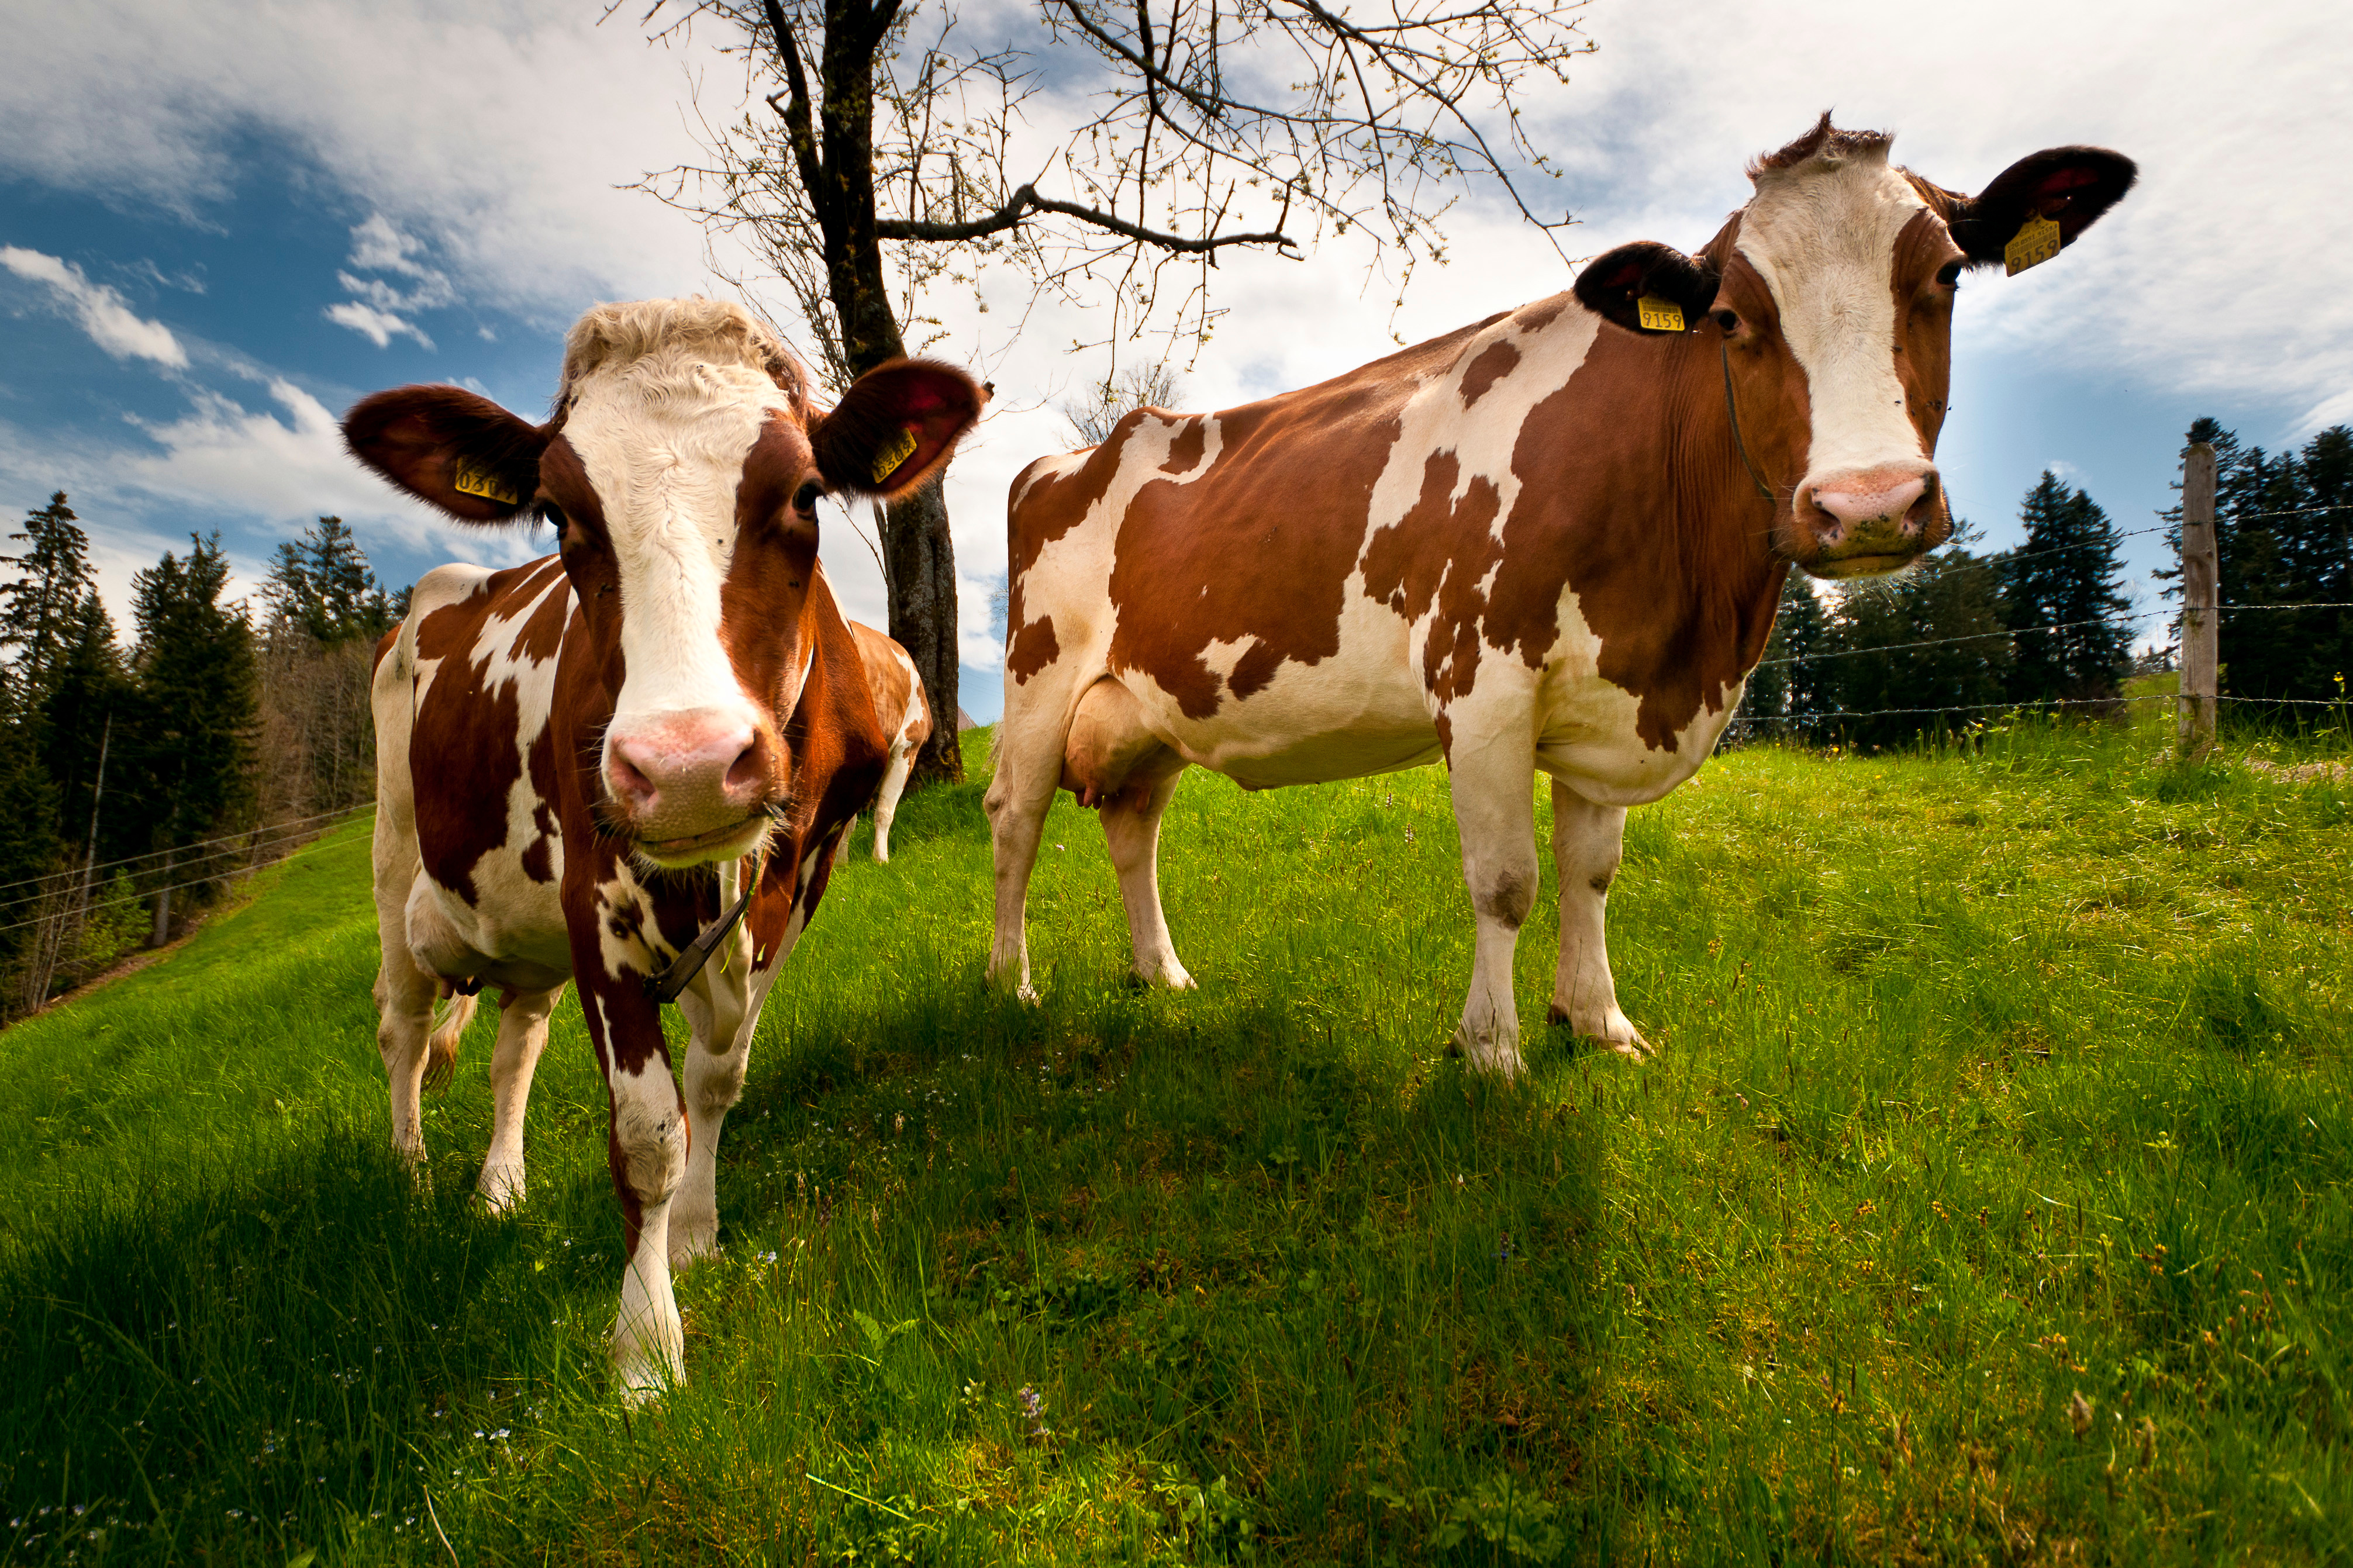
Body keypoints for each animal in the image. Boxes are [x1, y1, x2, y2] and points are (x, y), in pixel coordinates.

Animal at [986, 117, 2134, 1076]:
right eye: (1730, 317)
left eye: (1944, 275)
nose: (1869, 504)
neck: (1692, 631)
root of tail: (1074, 452)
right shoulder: (1482, 685)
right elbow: (1506, 881)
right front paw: (1491, 1050)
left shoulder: (1614, 686)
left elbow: (1590, 873)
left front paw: (1595, 1020)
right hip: (1040, 674)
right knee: (1016, 815)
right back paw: (1011, 981)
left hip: (1147, 709)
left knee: (1133, 826)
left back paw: (1161, 973)